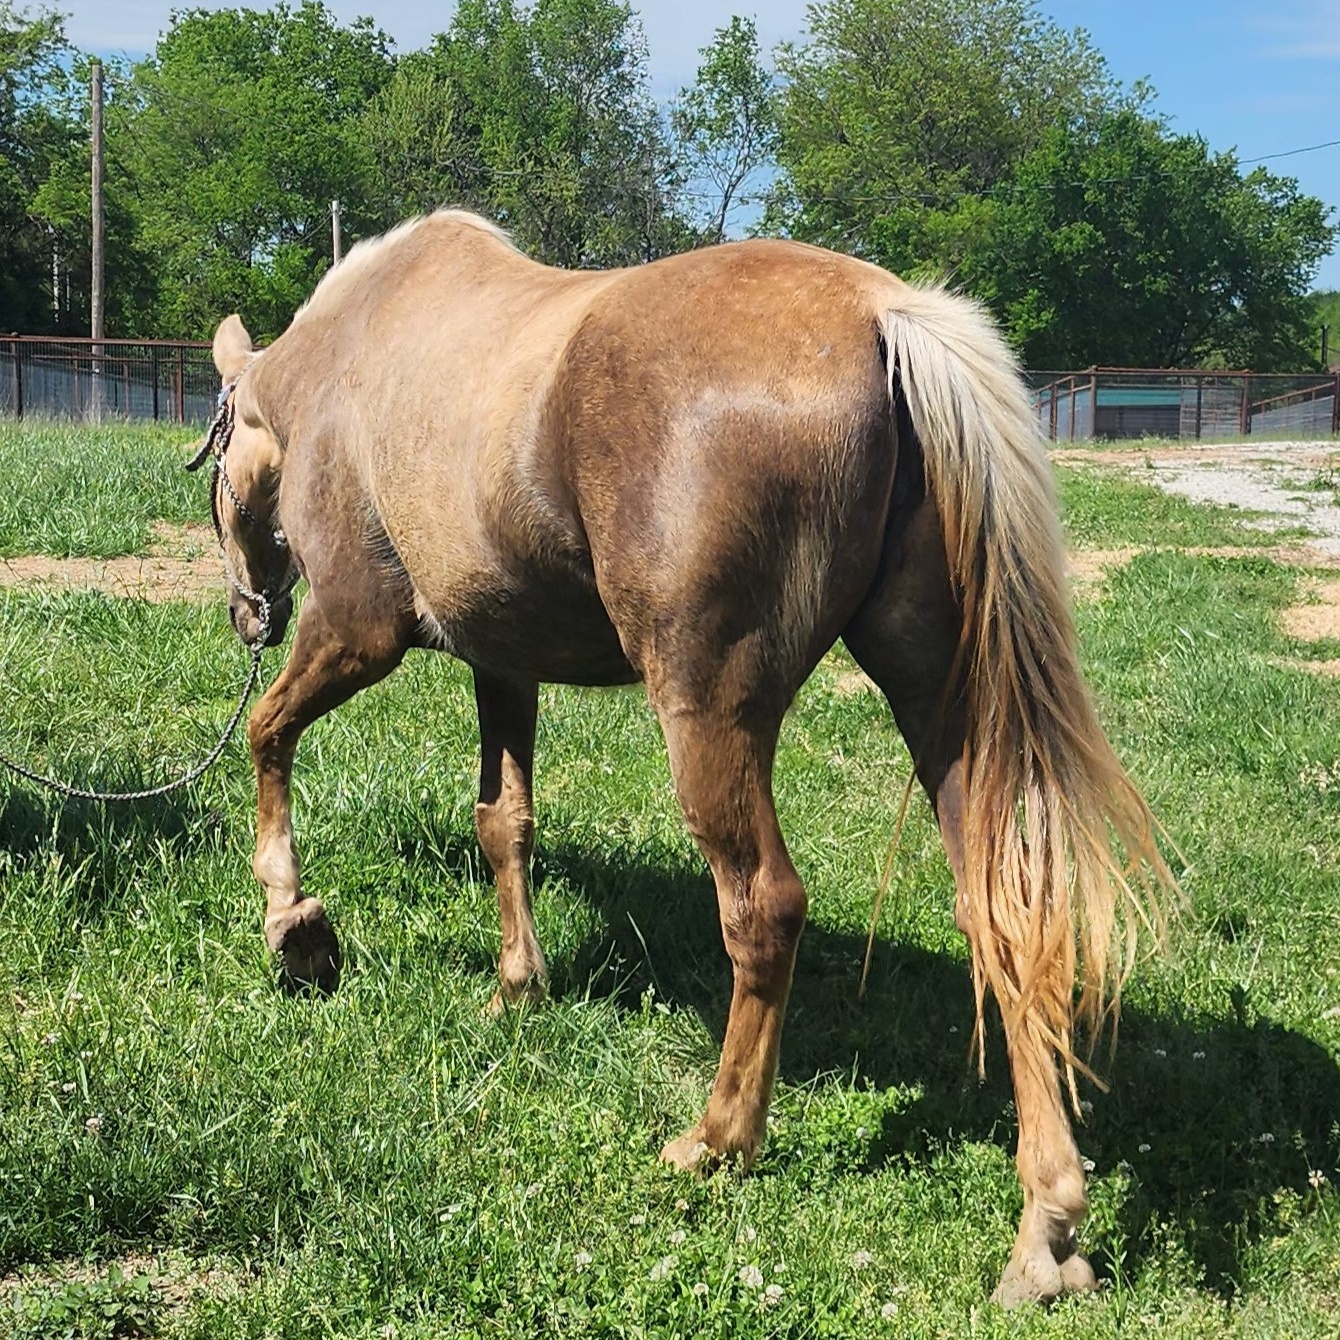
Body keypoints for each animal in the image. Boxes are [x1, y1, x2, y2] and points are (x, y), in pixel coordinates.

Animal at [199, 209, 1172, 1307]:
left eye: (214, 460)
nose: (247, 612)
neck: (352, 353)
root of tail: (884, 318)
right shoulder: (503, 663)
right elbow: (503, 822)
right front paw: (516, 984)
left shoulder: (358, 629)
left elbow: (265, 732)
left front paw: (294, 924)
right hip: (940, 701)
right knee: (1002, 912)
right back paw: (1044, 1226)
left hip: (709, 712)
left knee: (763, 907)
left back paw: (719, 1136)